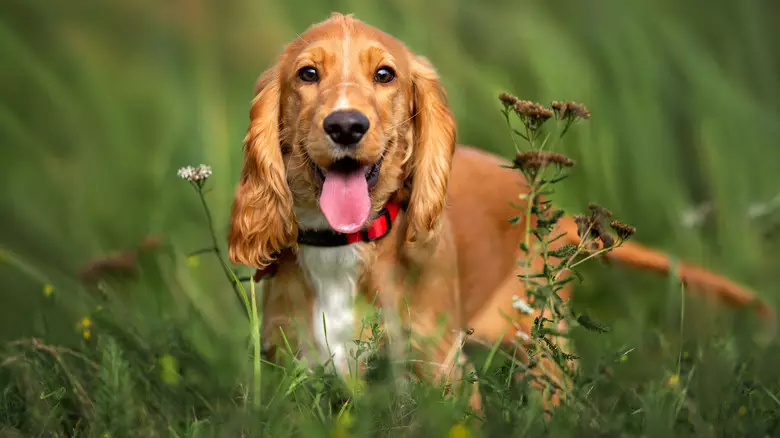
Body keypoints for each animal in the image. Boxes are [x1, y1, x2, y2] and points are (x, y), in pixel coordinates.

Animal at [227, 12, 772, 410]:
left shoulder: (440, 371)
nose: (345, 126)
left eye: (385, 75)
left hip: (543, 342)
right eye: (308, 74)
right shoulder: (293, 368)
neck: (344, 245)